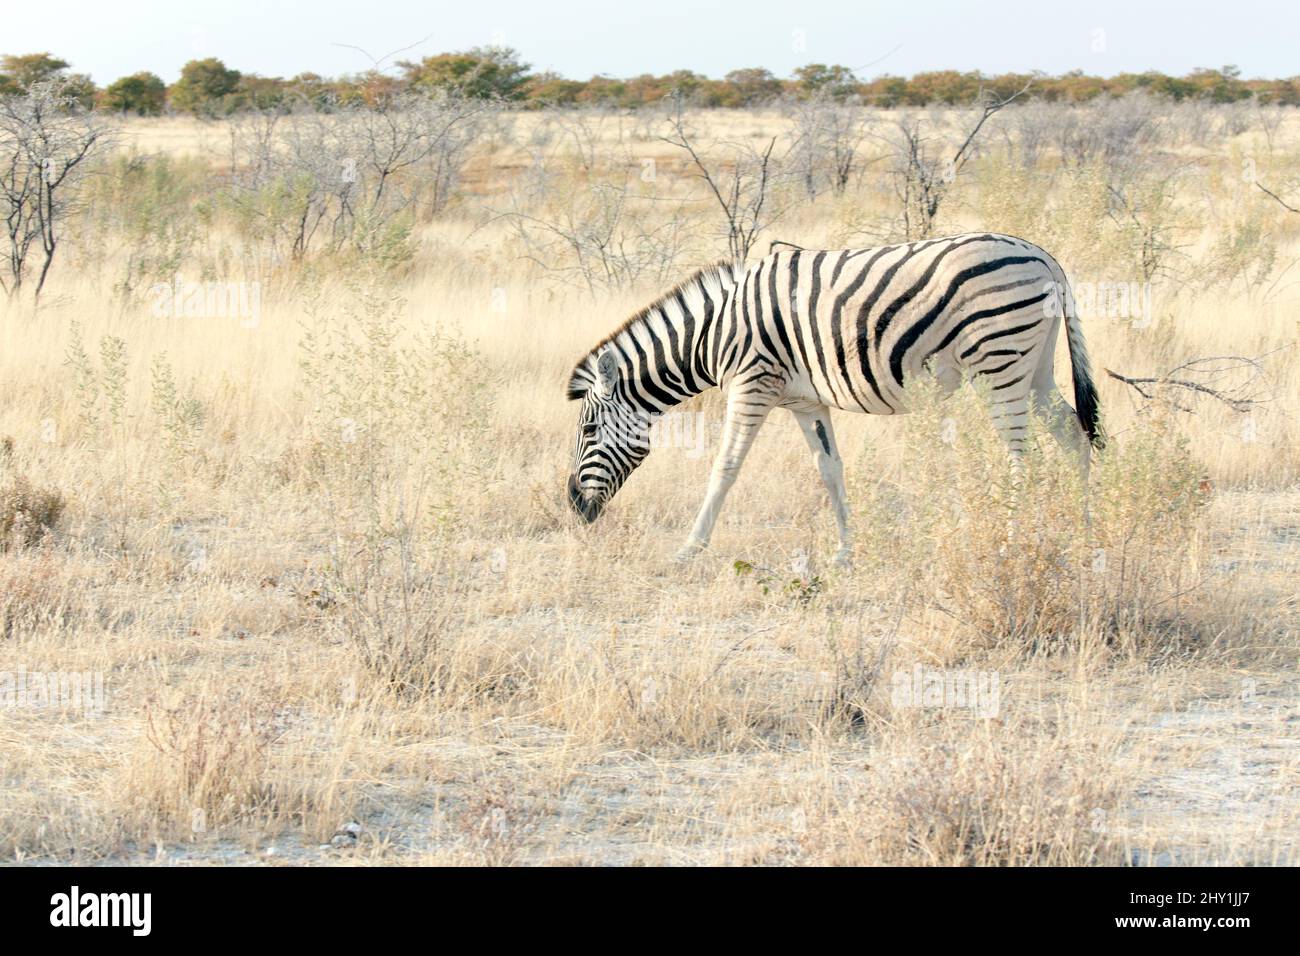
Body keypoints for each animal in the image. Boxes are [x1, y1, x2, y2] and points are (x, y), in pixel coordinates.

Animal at [565, 233, 1101, 565]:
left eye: (588, 430)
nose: (573, 506)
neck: (711, 335)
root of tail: (1042, 255)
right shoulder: (805, 401)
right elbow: (830, 468)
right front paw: (846, 552)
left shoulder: (752, 383)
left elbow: (725, 466)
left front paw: (689, 549)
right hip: (1036, 369)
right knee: (1074, 437)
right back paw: (1083, 528)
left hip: (999, 364)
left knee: (1024, 458)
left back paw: (1012, 542)